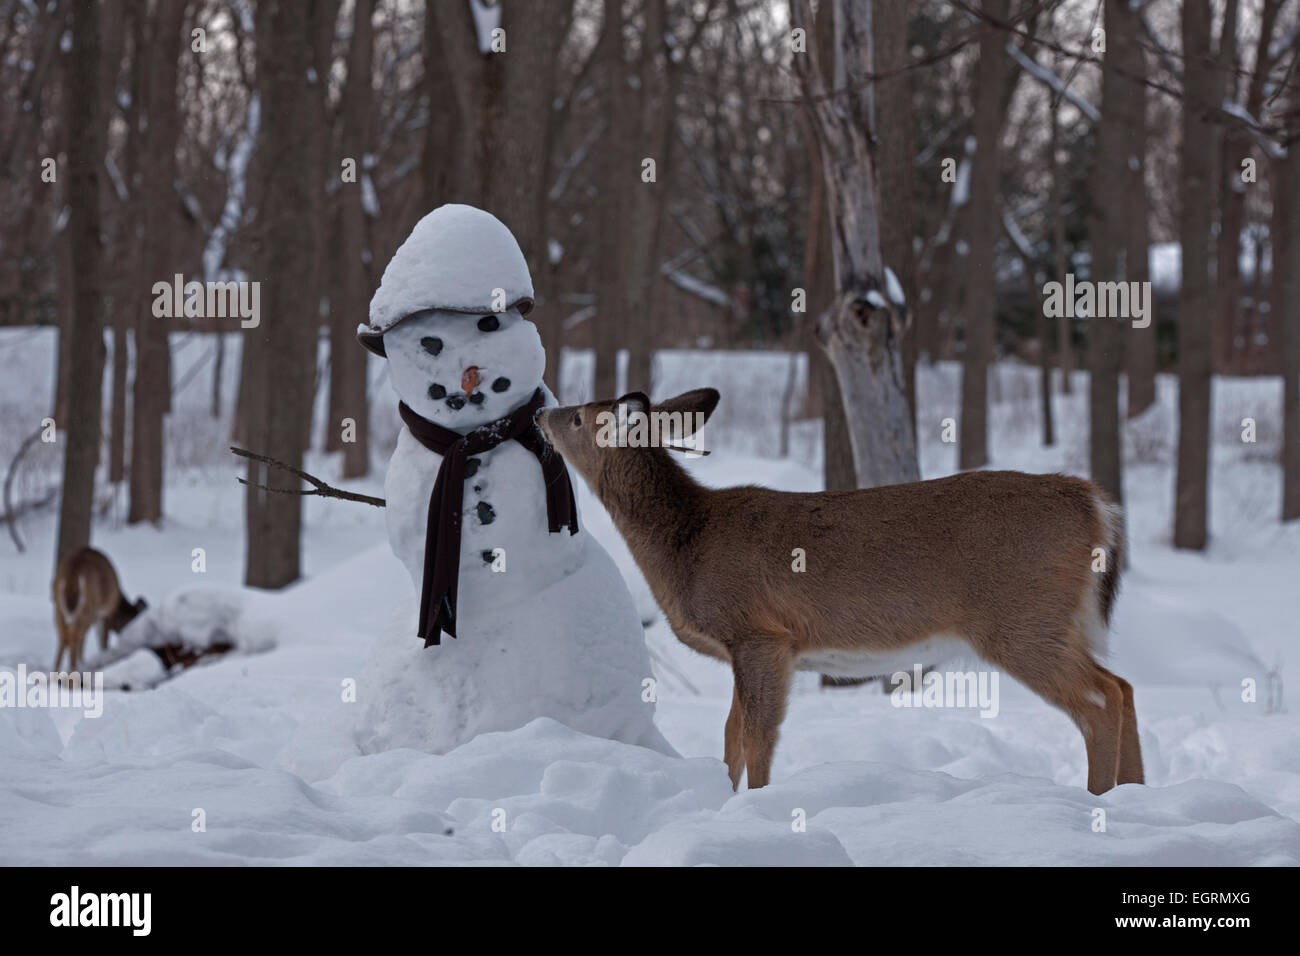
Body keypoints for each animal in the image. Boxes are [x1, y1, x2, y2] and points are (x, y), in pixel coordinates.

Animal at [537, 388, 1144, 796]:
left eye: (577, 416)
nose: (541, 411)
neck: (688, 542)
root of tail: (1096, 504)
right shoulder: (748, 649)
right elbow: (731, 732)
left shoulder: (760, 633)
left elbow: (756, 735)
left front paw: (753, 804)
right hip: (1054, 621)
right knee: (1123, 685)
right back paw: (1135, 793)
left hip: (1020, 617)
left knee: (1101, 699)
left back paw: (1098, 801)